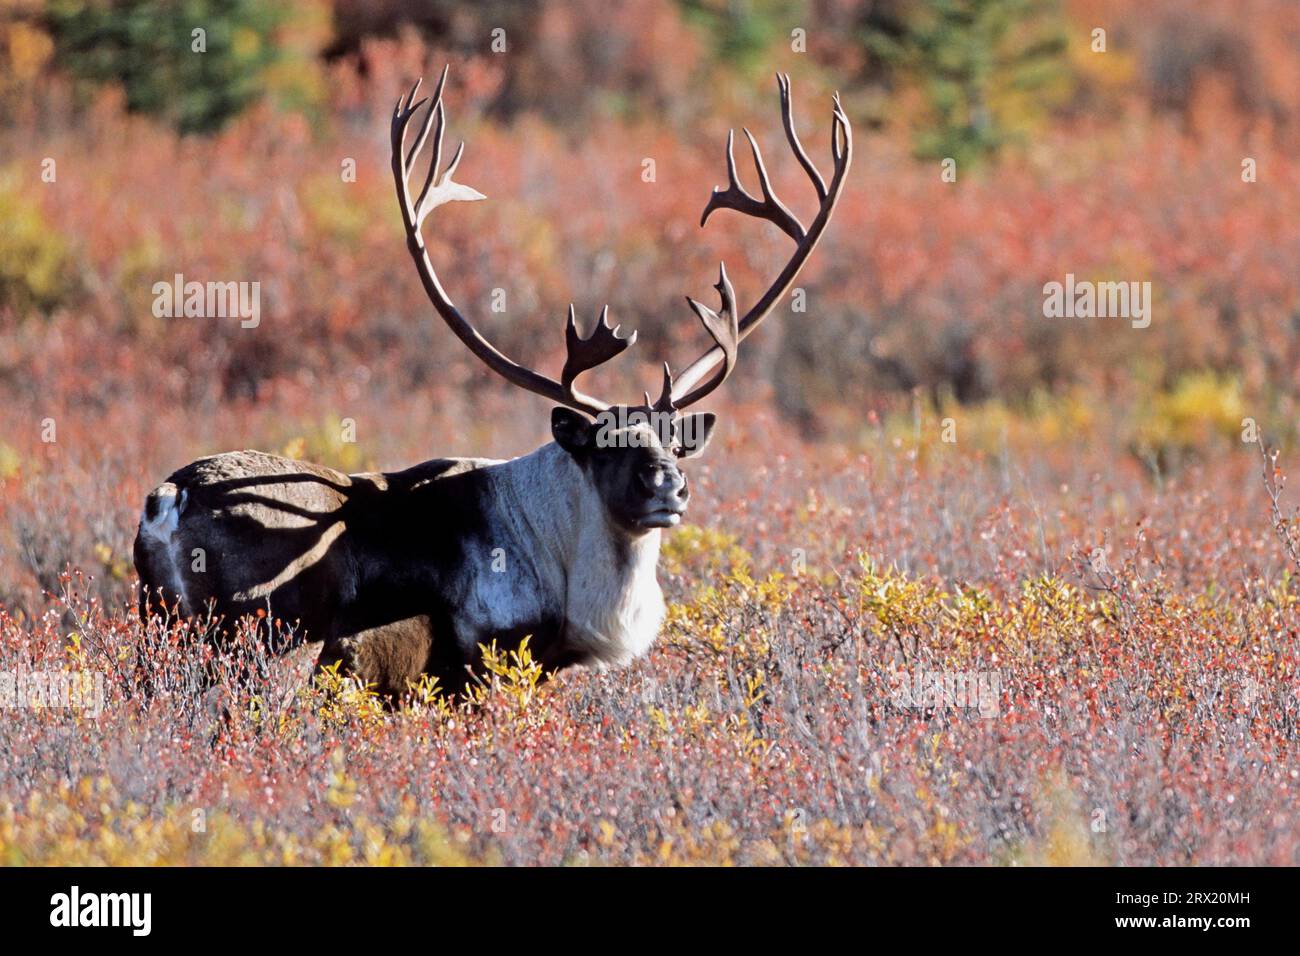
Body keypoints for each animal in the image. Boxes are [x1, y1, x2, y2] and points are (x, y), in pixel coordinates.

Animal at [133, 68, 851, 701]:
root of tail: (168, 498)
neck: (559, 556)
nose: (669, 488)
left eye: (675, 442)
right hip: (256, 644)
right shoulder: (486, 665)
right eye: (606, 445)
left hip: (159, 632)